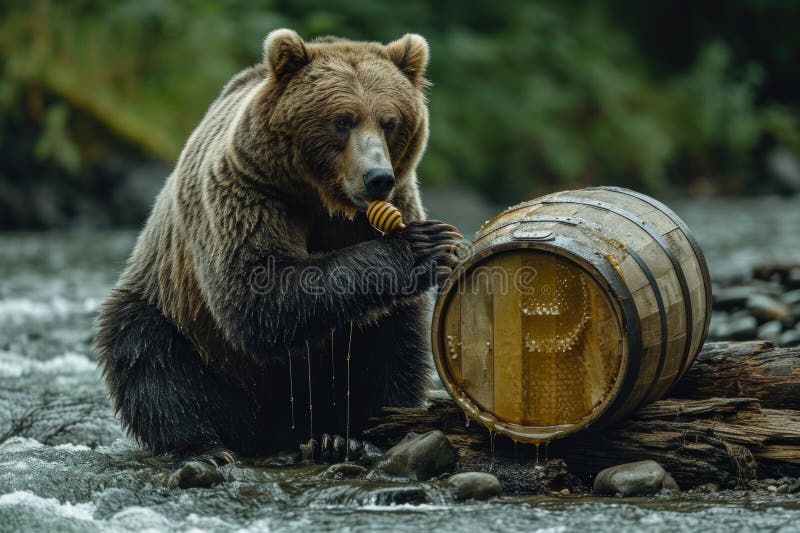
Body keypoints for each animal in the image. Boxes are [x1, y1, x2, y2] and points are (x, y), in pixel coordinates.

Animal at [94, 29, 462, 466]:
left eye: (390, 122)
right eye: (343, 120)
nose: (377, 178)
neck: (321, 198)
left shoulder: (392, 202)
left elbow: (388, 335)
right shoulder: (247, 191)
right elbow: (260, 287)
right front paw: (426, 244)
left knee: (393, 343)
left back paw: (349, 439)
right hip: (179, 314)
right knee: (148, 354)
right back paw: (204, 448)